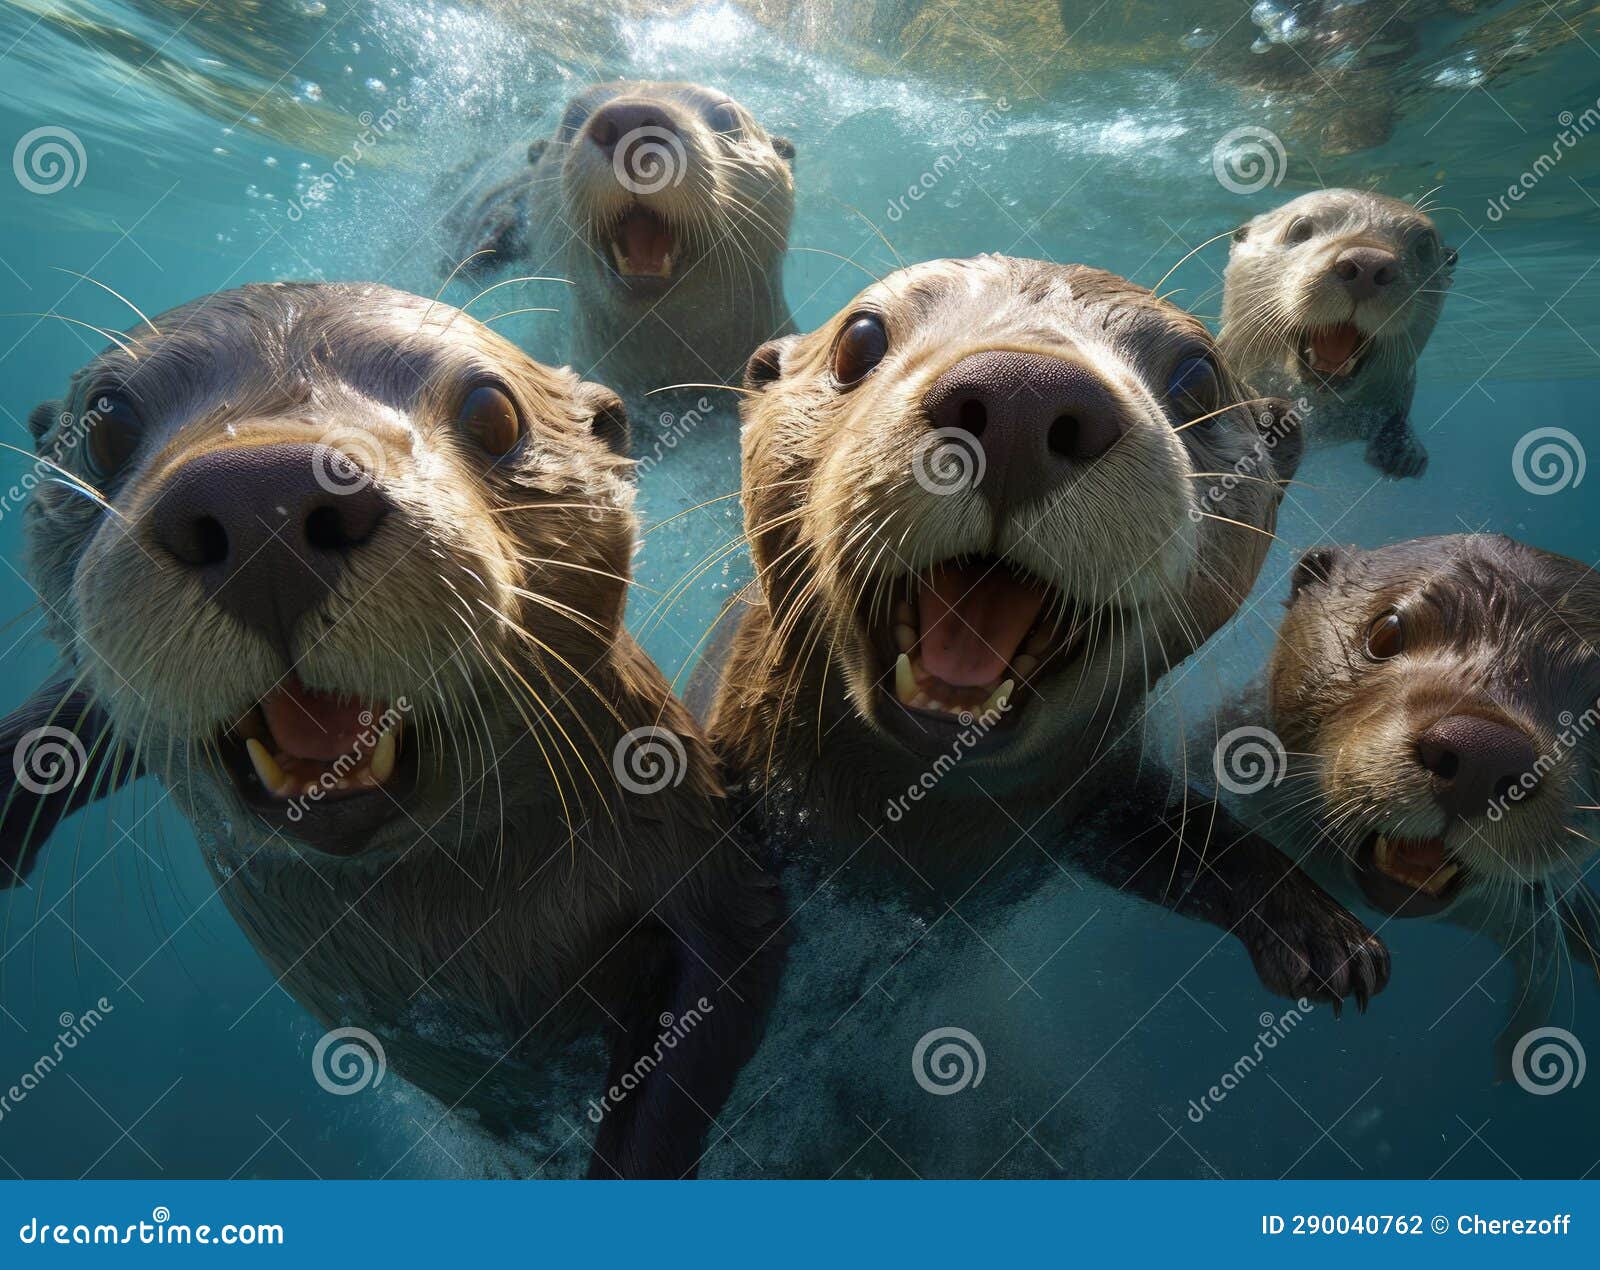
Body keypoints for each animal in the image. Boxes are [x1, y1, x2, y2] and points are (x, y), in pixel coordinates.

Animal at [702, 254, 1388, 1010]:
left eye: (1198, 378)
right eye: (859, 339)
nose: (1021, 394)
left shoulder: (1100, 793)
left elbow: (1193, 834)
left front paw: (1319, 928)